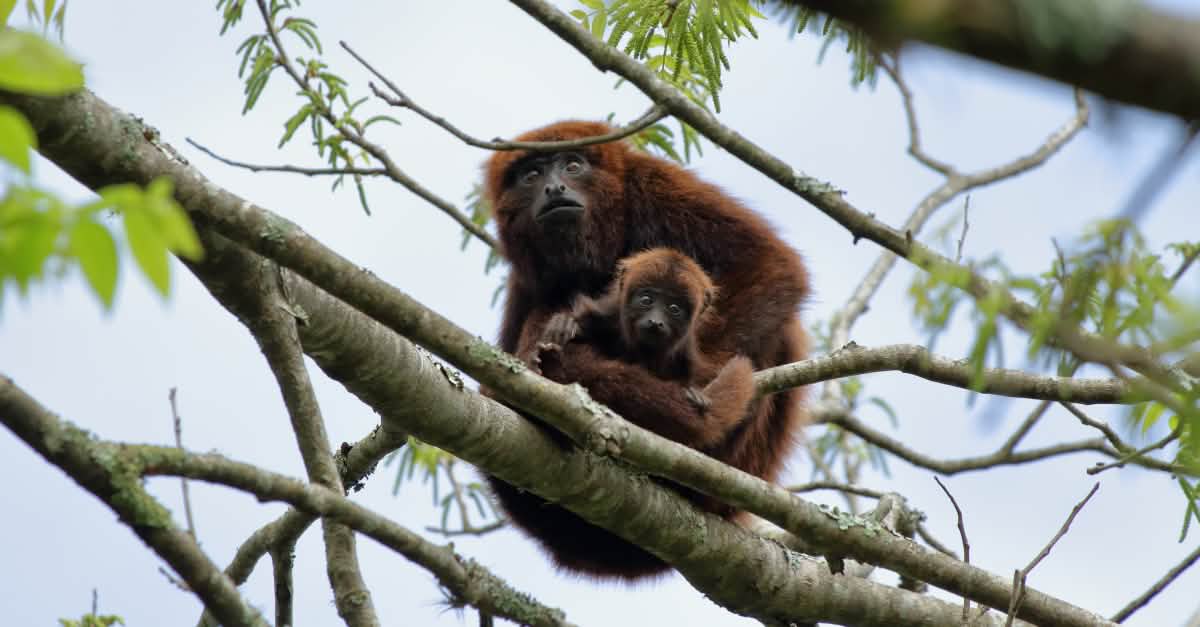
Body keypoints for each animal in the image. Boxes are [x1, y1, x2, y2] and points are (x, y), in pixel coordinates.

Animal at [481, 120, 810, 580]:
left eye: (573, 164)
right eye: (531, 175)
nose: (553, 187)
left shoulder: (654, 186)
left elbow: (771, 264)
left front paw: (696, 381)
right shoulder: (525, 280)